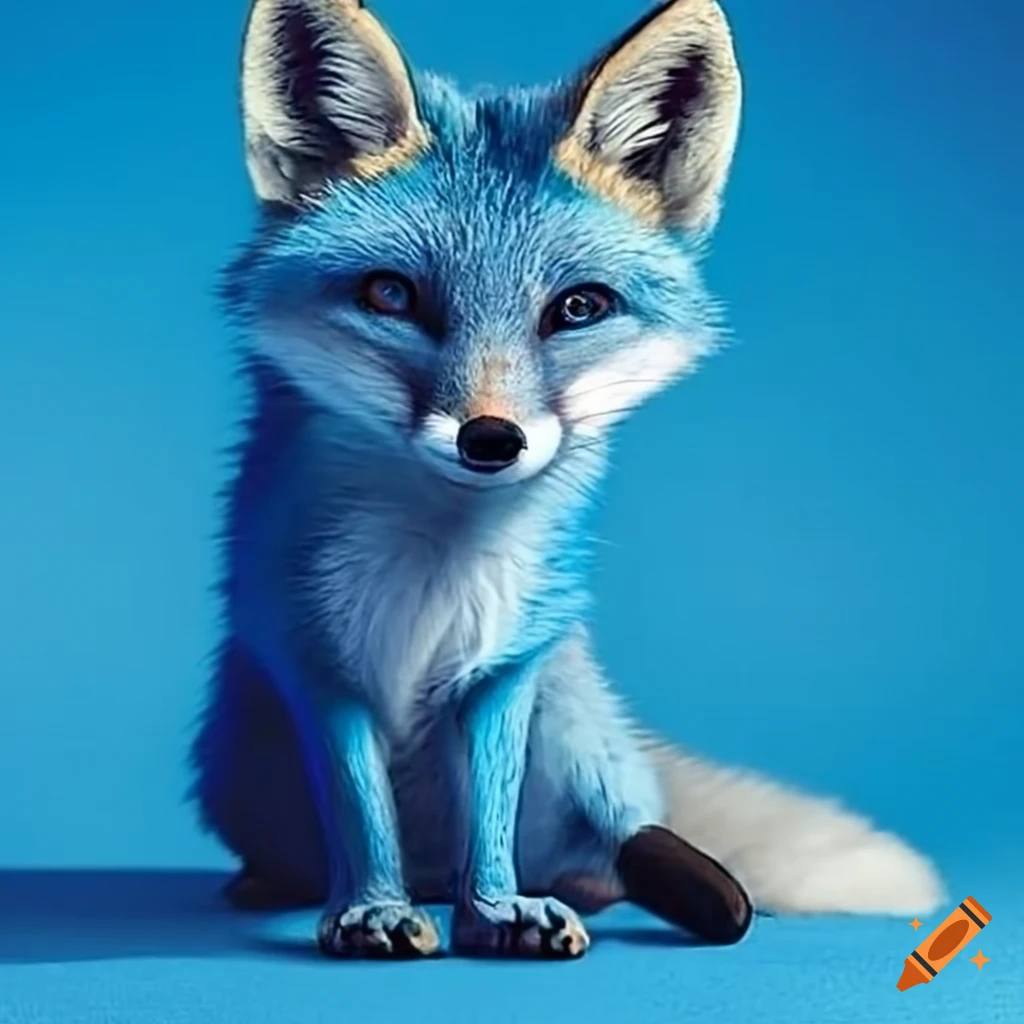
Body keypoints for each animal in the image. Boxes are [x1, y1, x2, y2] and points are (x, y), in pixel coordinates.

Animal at [190, 0, 945, 960]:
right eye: (392, 296)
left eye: (578, 308)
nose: (490, 439)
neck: (433, 573)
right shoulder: (314, 661)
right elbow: (362, 810)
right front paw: (374, 908)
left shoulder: (510, 660)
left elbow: (494, 811)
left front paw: (496, 911)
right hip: (245, 755)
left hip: (572, 720)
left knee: (618, 837)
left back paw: (686, 894)